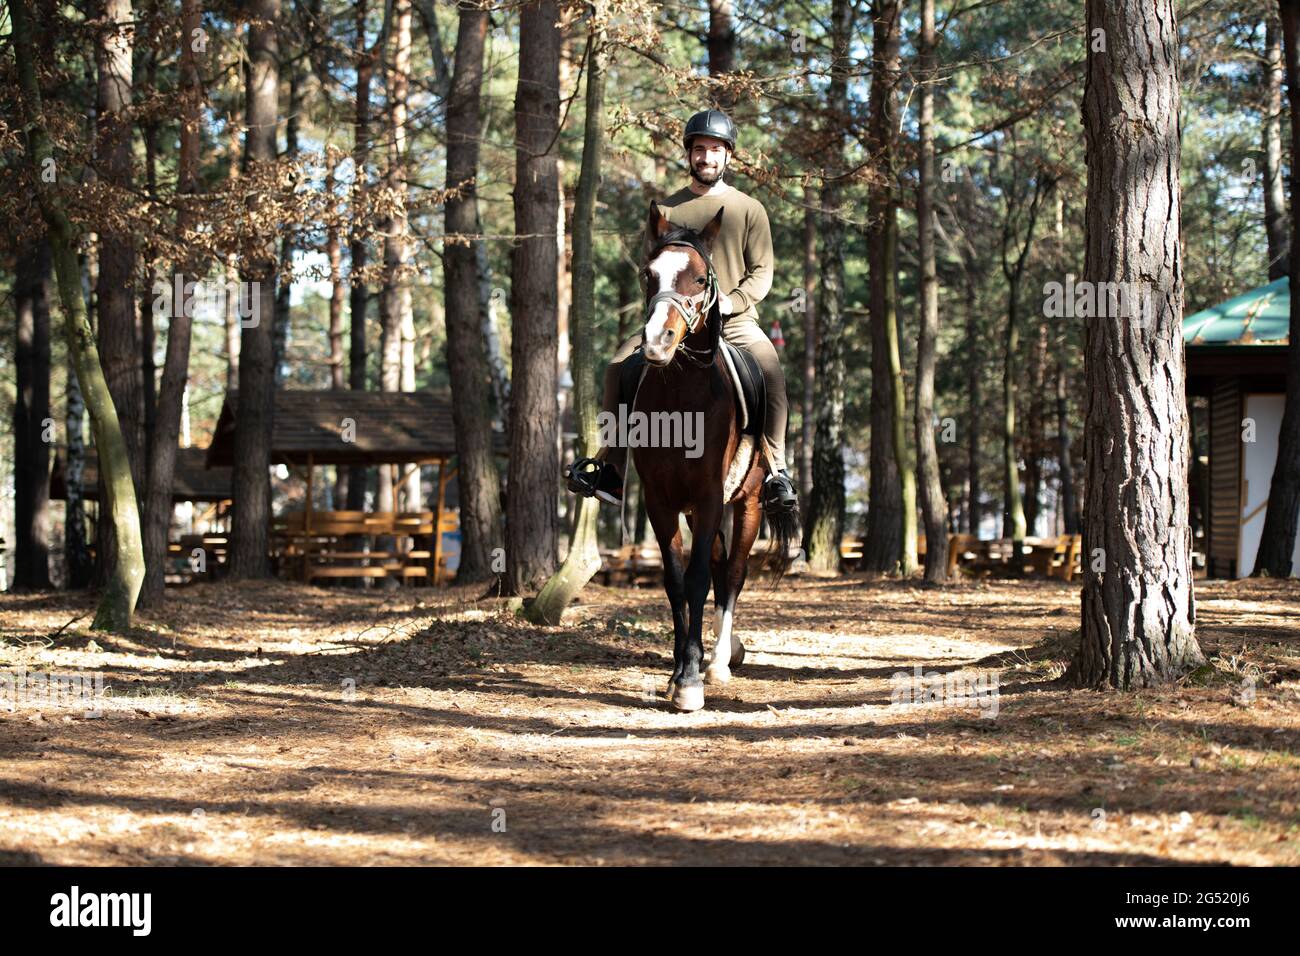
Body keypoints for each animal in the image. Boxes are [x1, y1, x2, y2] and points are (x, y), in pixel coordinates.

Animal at [630, 202, 799, 712]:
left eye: (702, 278)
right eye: (649, 274)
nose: (658, 341)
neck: (681, 396)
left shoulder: (707, 499)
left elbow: (700, 580)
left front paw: (690, 680)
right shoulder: (661, 502)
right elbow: (674, 581)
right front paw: (676, 673)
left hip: (745, 504)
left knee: (734, 575)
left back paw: (720, 660)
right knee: (723, 570)